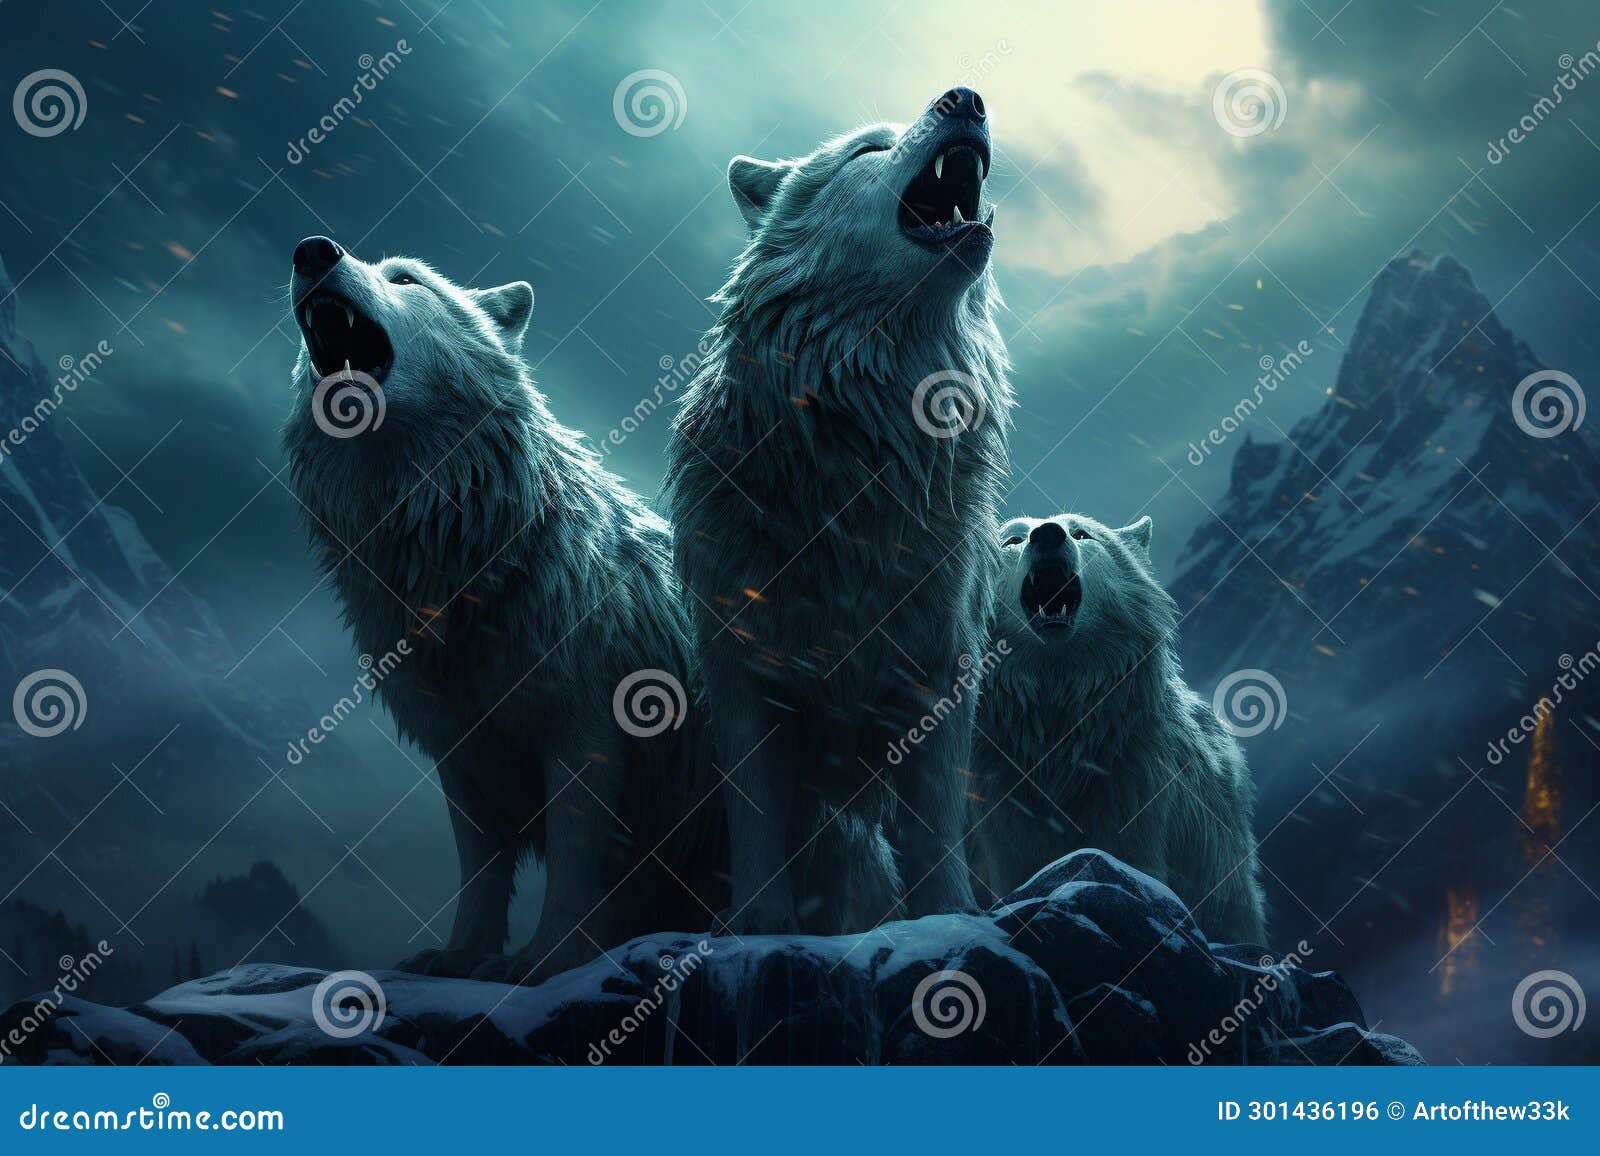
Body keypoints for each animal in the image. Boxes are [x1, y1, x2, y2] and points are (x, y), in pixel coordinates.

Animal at [281, 236, 723, 983]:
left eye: (406, 279)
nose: (313, 250)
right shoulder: (460, 747)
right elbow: (480, 872)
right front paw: (460, 955)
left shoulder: (588, 730)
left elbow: (576, 859)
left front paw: (547, 959)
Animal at [664, 87, 1013, 934]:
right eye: (869, 150)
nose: (967, 97)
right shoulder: (743, 670)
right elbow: (756, 823)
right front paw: (758, 927)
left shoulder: (941, 667)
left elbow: (937, 831)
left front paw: (950, 920)